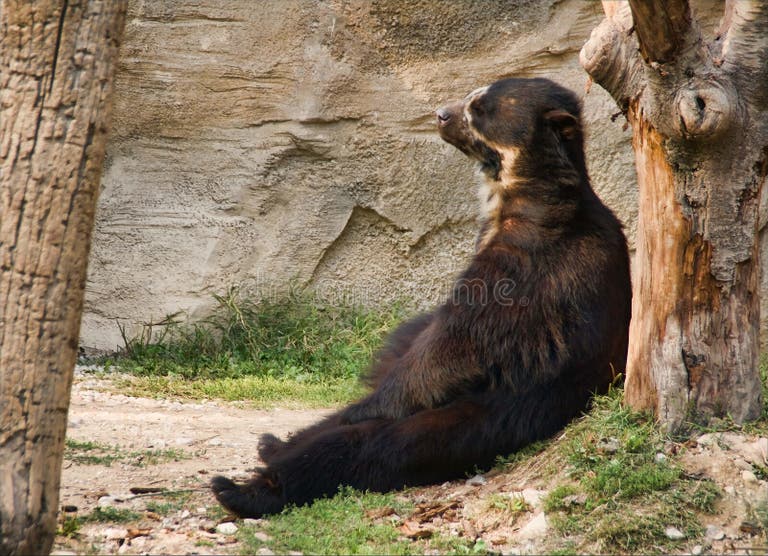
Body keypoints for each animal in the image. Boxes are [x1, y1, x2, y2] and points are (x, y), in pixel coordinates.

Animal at [211, 77, 632, 518]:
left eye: (481, 107)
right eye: (473, 96)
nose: (441, 114)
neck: (515, 201)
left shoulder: (523, 266)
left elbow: (451, 348)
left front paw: (356, 412)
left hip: (493, 415)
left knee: (371, 448)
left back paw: (243, 487)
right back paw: (272, 444)